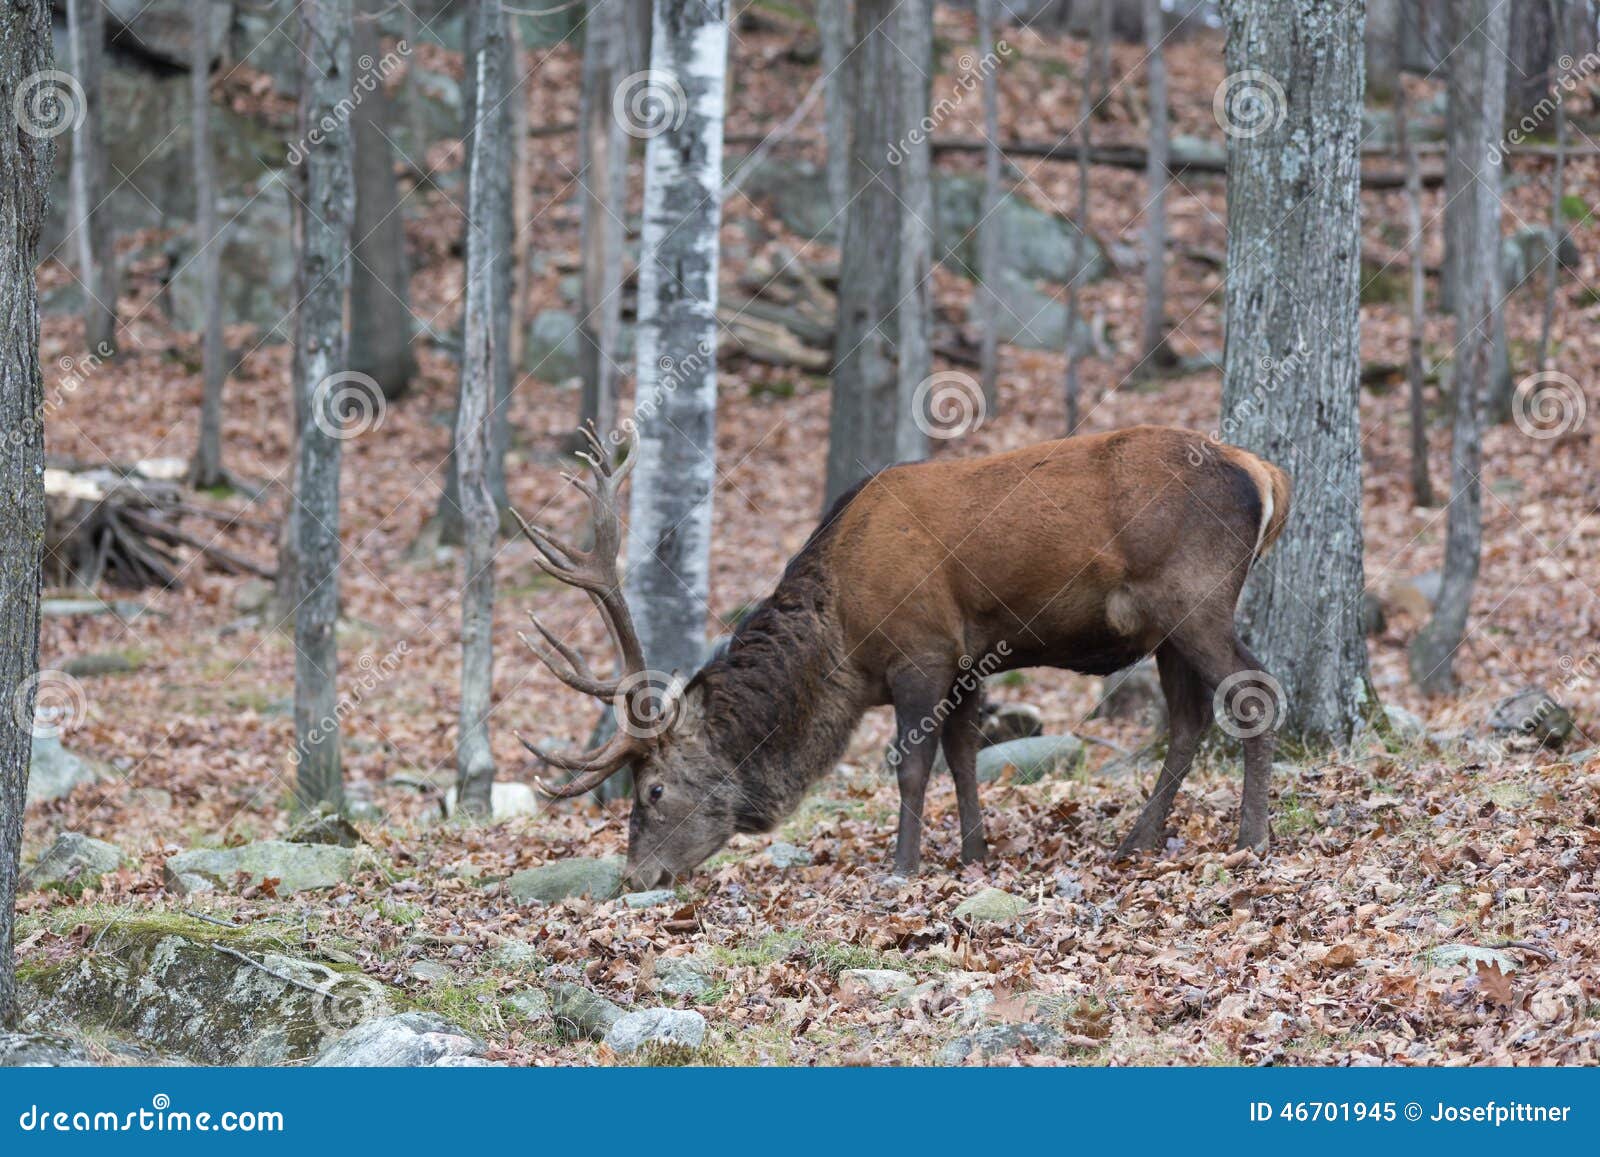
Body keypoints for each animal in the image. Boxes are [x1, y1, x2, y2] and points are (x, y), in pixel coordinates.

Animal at [515, 424, 1291, 890]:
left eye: (653, 790)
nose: (635, 878)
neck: (844, 637)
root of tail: (1264, 474)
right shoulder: (970, 662)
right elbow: (965, 757)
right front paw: (975, 855)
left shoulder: (921, 651)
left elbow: (913, 767)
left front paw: (903, 867)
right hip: (1165, 628)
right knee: (1190, 720)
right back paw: (1136, 841)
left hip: (1194, 596)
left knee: (1256, 692)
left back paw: (1251, 837)